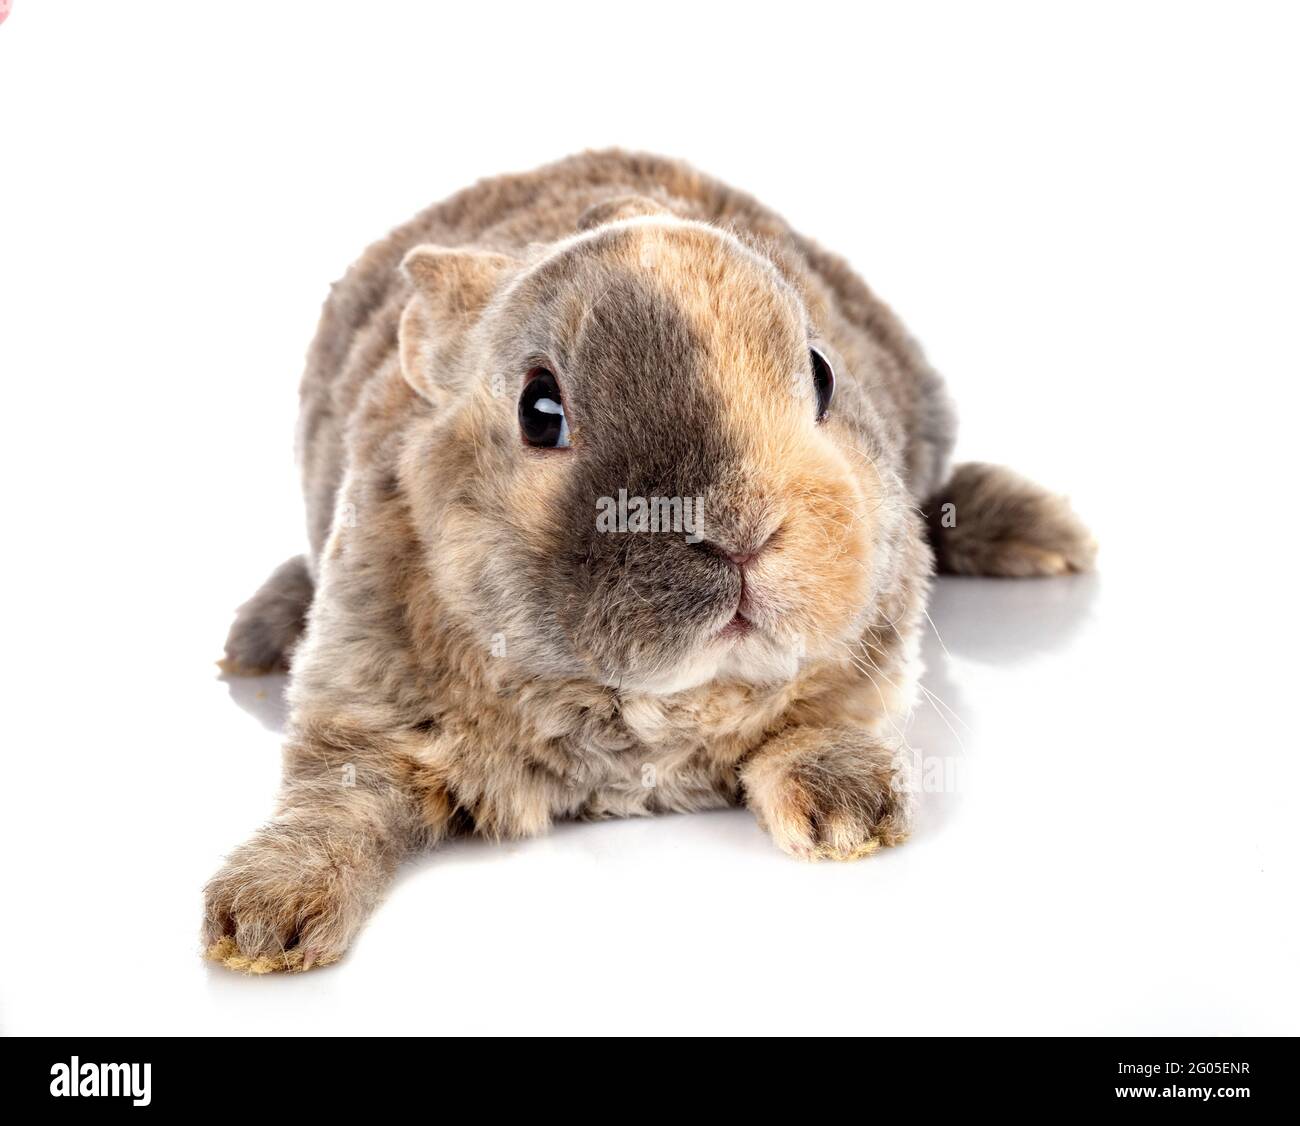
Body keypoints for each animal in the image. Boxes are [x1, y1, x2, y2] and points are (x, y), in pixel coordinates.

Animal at [206, 150, 1095, 973]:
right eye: (539, 410)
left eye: (821, 374)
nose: (741, 528)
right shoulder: (365, 719)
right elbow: (332, 807)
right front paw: (262, 920)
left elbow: (820, 727)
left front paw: (849, 819)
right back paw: (260, 635)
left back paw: (1048, 536)